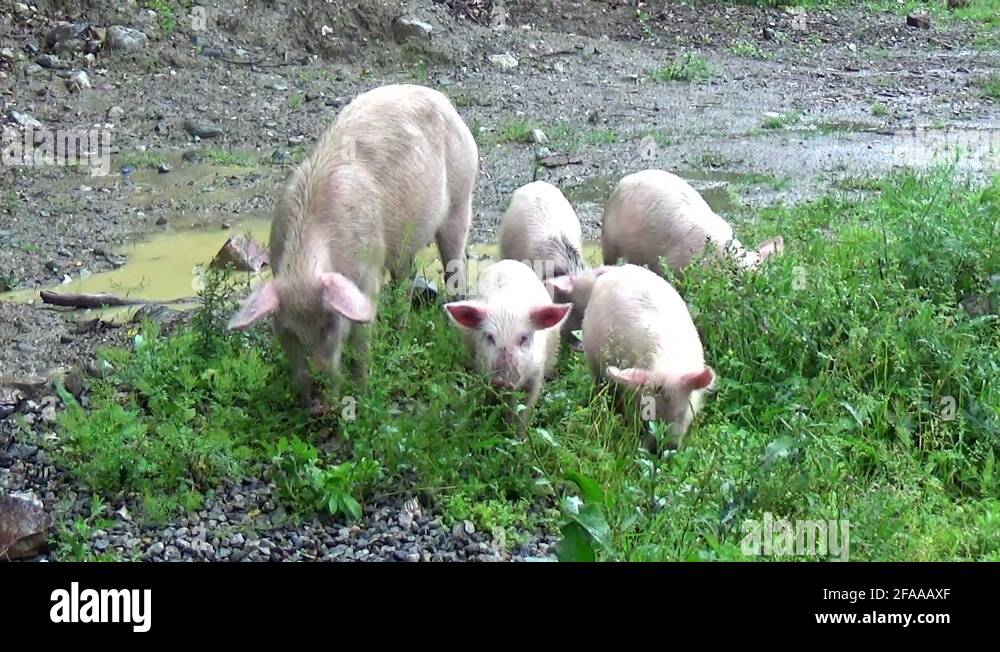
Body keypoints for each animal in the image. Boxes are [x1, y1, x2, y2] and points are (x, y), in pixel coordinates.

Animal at [227, 84, 478, 405]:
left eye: (330, 326)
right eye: (288, 332)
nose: (319, 406)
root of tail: (442, 98)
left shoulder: (366, 273)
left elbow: (362, 334)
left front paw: (362, 392)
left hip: (461, 197)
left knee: (455, 266)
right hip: (404, 245)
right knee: (404, 280)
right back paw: (399, 332)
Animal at [443, 259, 571, 433]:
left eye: (523, 338)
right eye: (490, 337)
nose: (501, 380)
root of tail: (508, 261)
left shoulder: (536, 373)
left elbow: (524, 410)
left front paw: (517, 436)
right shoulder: (482, 368)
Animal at [582, 263, 715, 449]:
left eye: (682, 413)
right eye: (647, 412)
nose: (661, 450)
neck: (668, 365)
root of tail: (615, 269)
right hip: (592, 353)